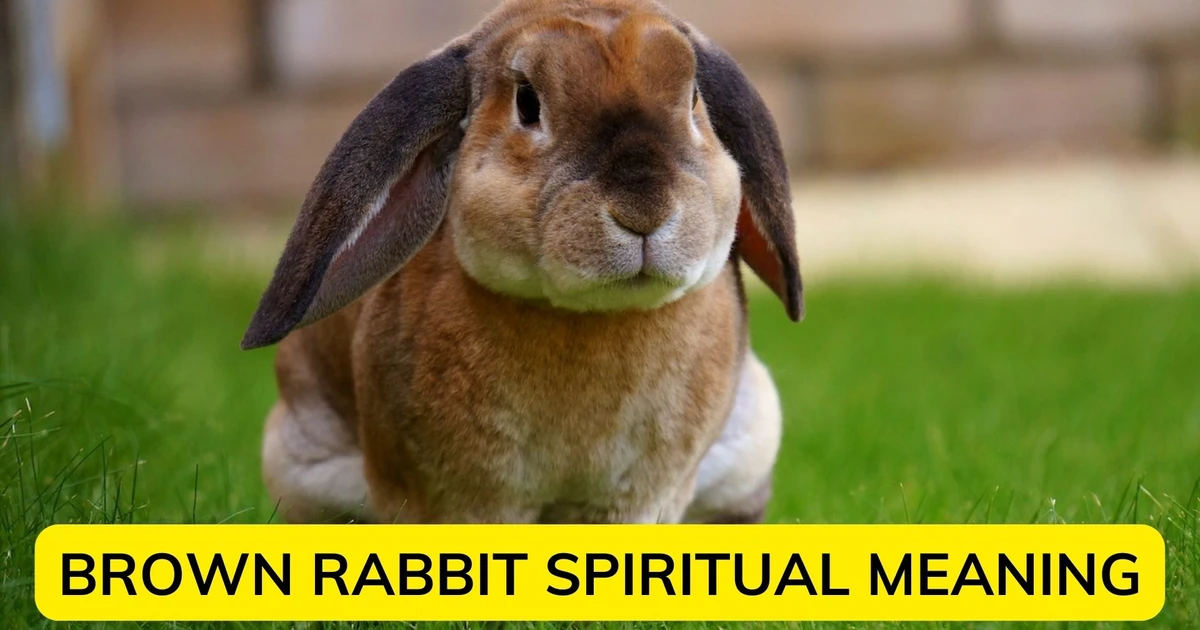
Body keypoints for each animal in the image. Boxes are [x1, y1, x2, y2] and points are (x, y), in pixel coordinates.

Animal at [242, 0, 803, 525]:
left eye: (693, 101)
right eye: (527, 103)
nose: (644, 210)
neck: (590, 319)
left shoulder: (640, 500)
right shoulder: (461, 500)